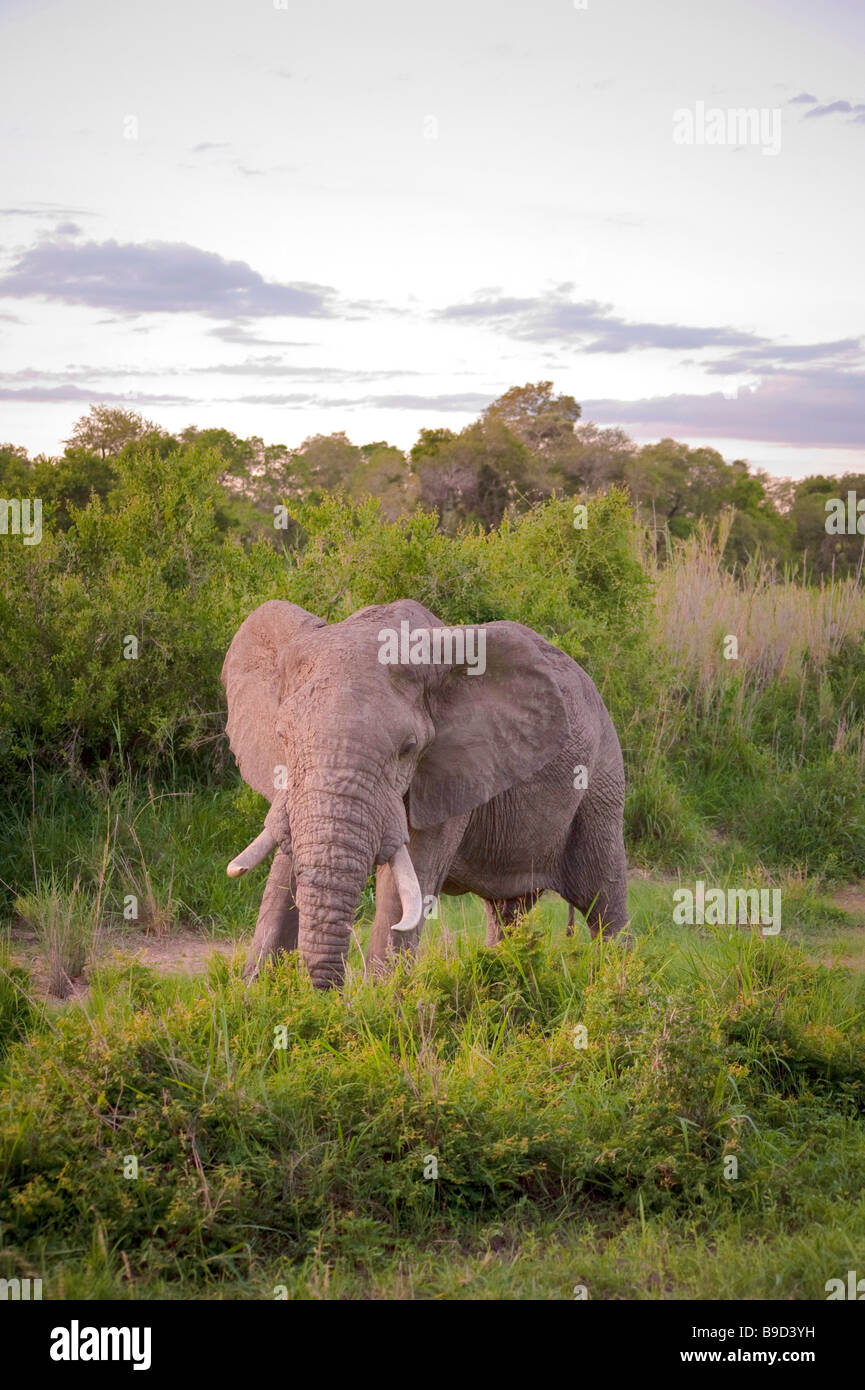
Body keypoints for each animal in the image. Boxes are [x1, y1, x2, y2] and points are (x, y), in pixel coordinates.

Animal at [221, 598, 629, 989]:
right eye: (282, 737)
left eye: (408, 748)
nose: (330, 992)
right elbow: (283, 869)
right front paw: (256, 994)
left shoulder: (449, 772)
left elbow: (408, 878)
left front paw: (381, 1000)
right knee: (509, 911)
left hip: (602, 782)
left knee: (603, 899)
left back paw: (619, 981)